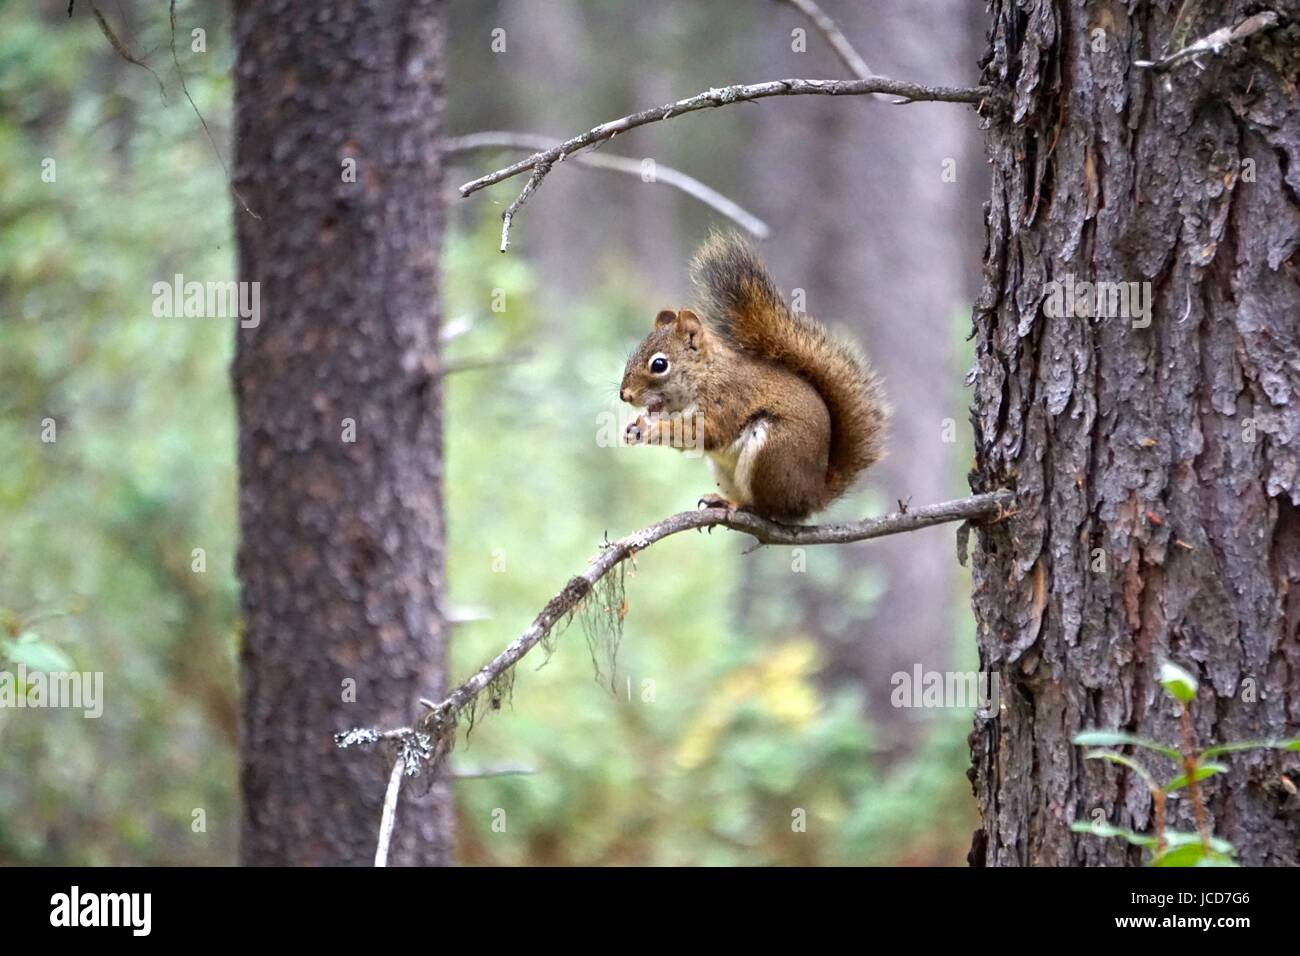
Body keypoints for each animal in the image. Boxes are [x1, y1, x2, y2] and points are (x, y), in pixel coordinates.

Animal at [620, 231, 888, 522]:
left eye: (659, 364)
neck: (705, 376)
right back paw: (721, 500)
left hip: (773, 452)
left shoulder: (726, 402)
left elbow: (704, 433)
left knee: (769, 510)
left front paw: (652, 428)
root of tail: (811, 498)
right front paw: (633, 427)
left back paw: (743, 506)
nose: (624, 395)